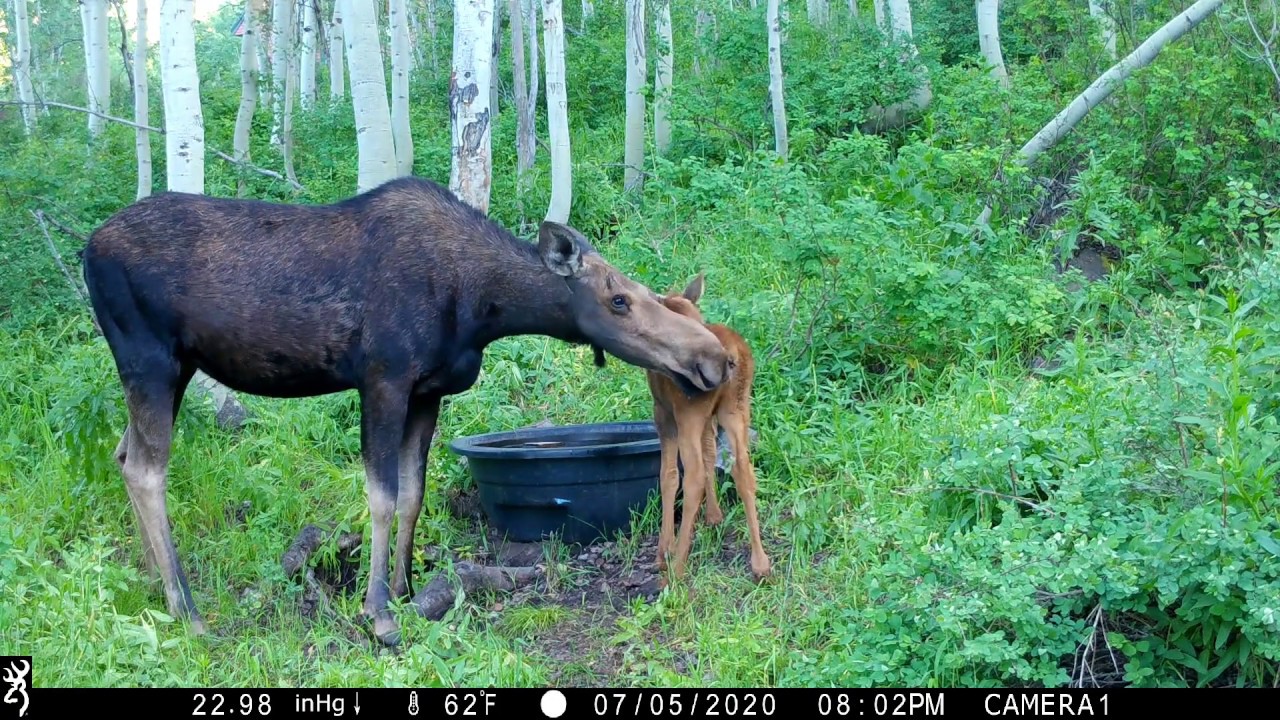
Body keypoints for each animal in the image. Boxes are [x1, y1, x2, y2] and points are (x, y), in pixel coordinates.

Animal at [80, 176, 732, 646]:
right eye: (618, 300)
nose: (713, 358)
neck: (484, 307)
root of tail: (87, 247)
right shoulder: (384, 379)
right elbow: (382, 496)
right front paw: (379, 615)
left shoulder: (429, 392)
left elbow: (414, 495)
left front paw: (405, 589)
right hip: (149, 357)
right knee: (148, 469)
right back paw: (188, 610)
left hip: (177, 367)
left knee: (122, 454)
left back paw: (153, 586)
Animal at [646, 273, 771, 584]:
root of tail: (733, 355)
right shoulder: (708, 417)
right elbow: (710, 452)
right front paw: (713, 516)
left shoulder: (665, 414)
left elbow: (668, 476)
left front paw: (663, 550)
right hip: (737, 408)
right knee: (743, 469)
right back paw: (761, 562)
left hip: (689, 412)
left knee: (692, 477)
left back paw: (677, 566)